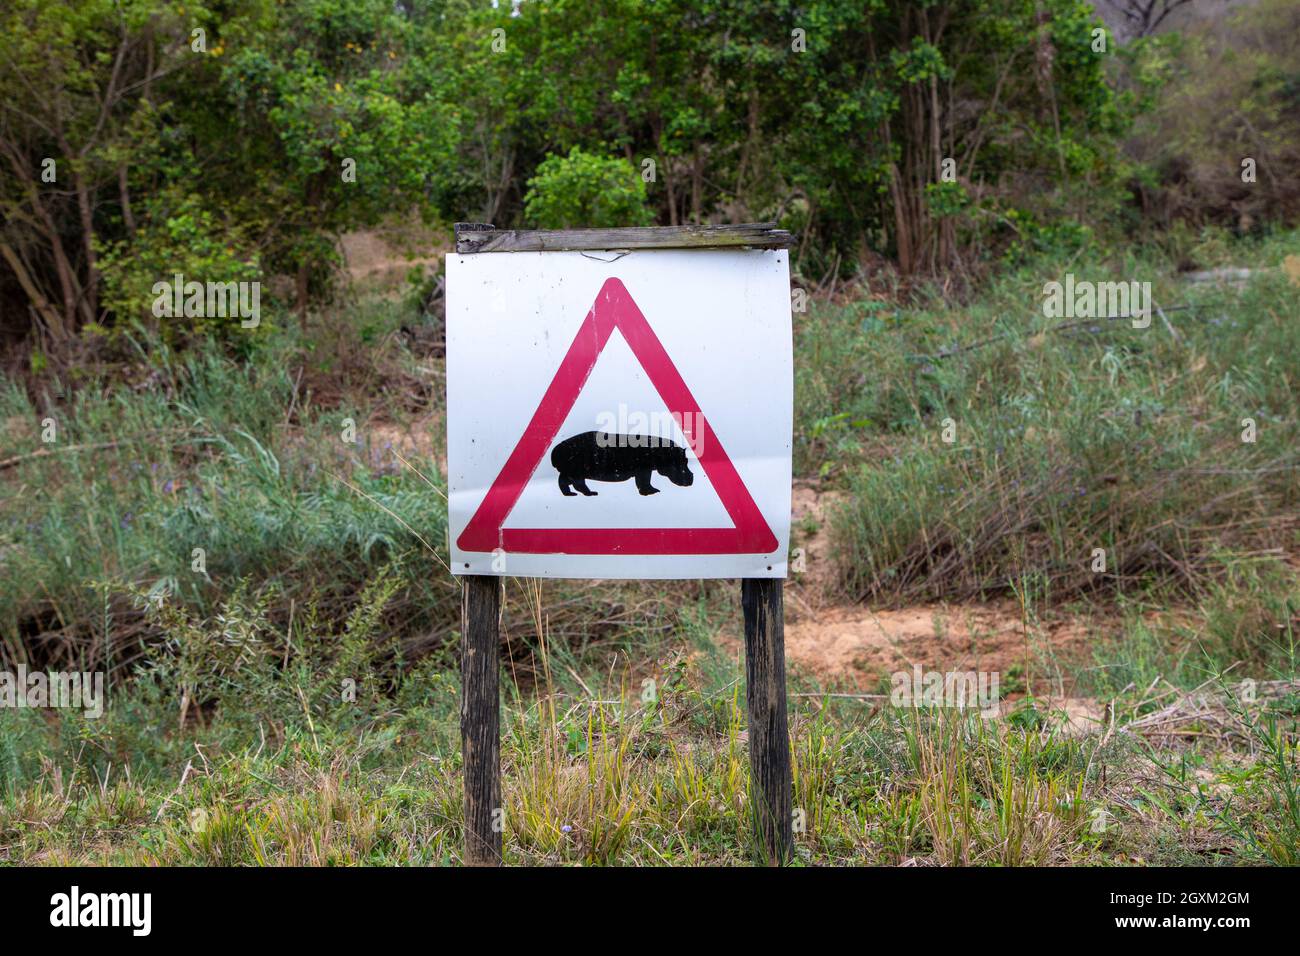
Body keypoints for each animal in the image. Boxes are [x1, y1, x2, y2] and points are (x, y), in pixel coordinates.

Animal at [550, 431, 694, 497]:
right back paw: (588, 493)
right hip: (576, 472)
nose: (691, 477)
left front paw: (652, 491)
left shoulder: (645, 470)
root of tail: (555, 450)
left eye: (686, 461)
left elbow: (644, 481)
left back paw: (576, 494)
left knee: (566, 482)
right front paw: (651, 492)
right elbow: (644, 481)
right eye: (681, 462)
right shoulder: (643, 470)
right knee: (573, 483)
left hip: (572, 472)